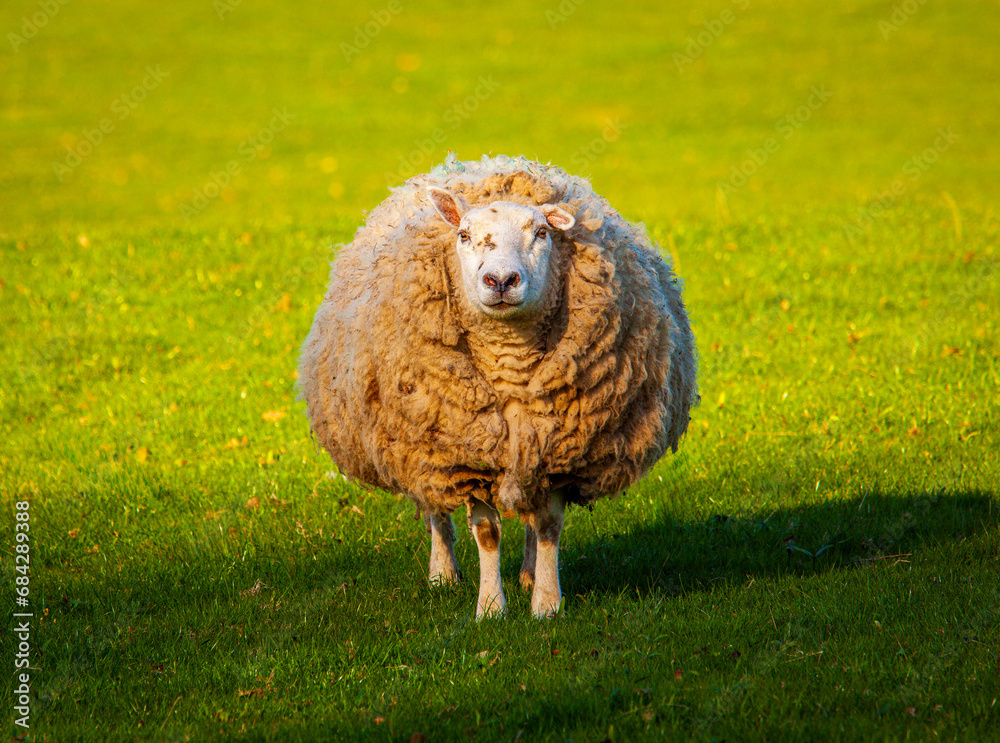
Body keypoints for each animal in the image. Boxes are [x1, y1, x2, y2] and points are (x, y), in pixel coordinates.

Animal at [298, 154, 697, 619]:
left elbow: (548, 526)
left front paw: (546, 603)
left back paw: (526, 574)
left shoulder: (556, 449)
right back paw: (442, 573)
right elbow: (487, 533)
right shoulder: (466, 454)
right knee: (436, 506)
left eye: (541, 233)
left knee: (529, 512)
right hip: (422, 438)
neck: (511, 364)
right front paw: (490, 608)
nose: (502, 280)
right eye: (464, 235)